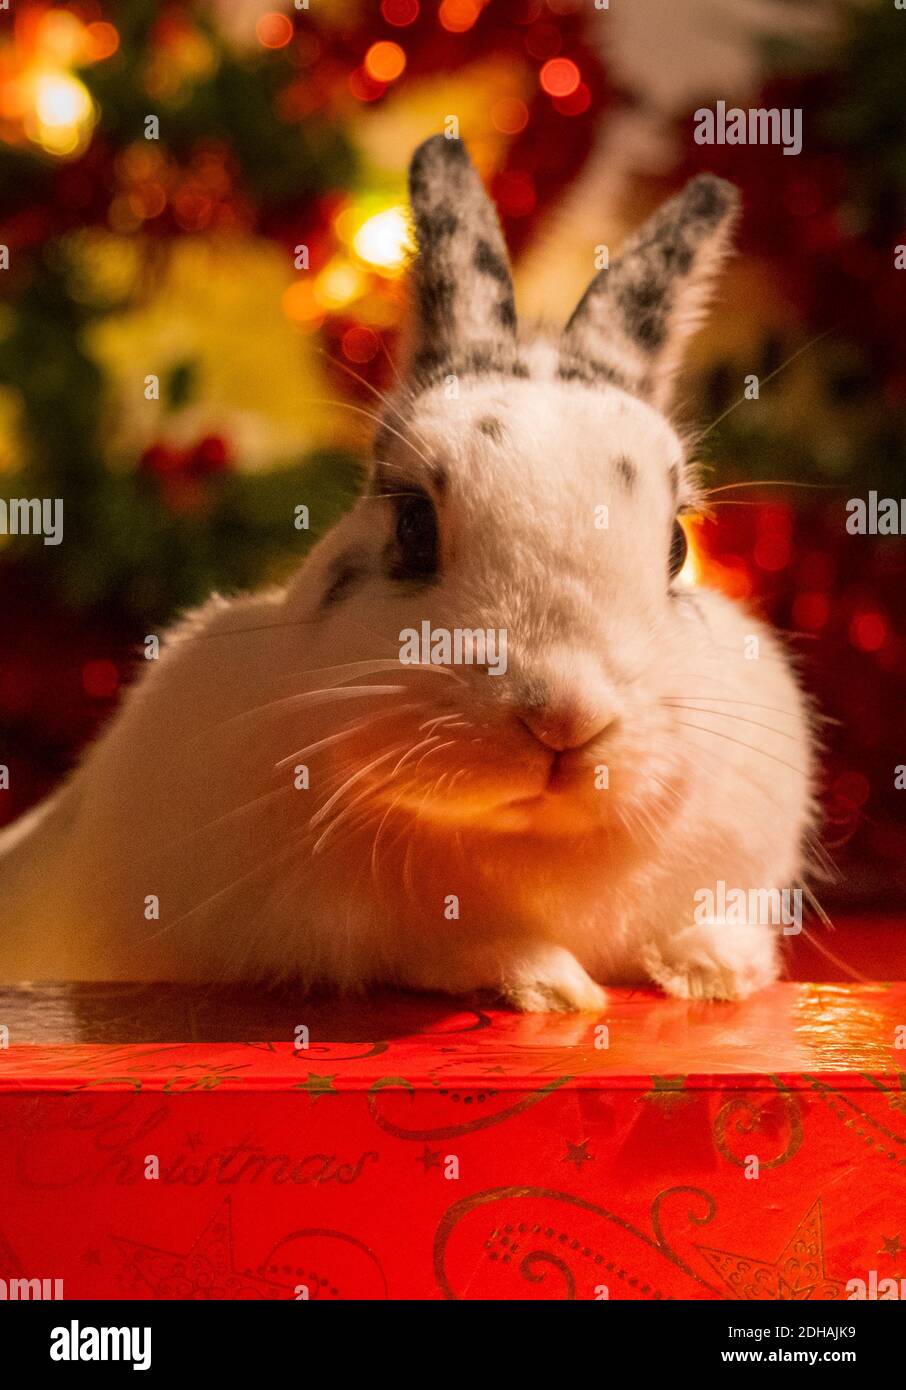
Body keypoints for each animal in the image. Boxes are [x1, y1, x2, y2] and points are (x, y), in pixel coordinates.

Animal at [0, 135, 815, 1010]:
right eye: (414, 526)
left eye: (676, 547)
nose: (564, 718)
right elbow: (436, 947)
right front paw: (549, 984)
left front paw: (715, 969)